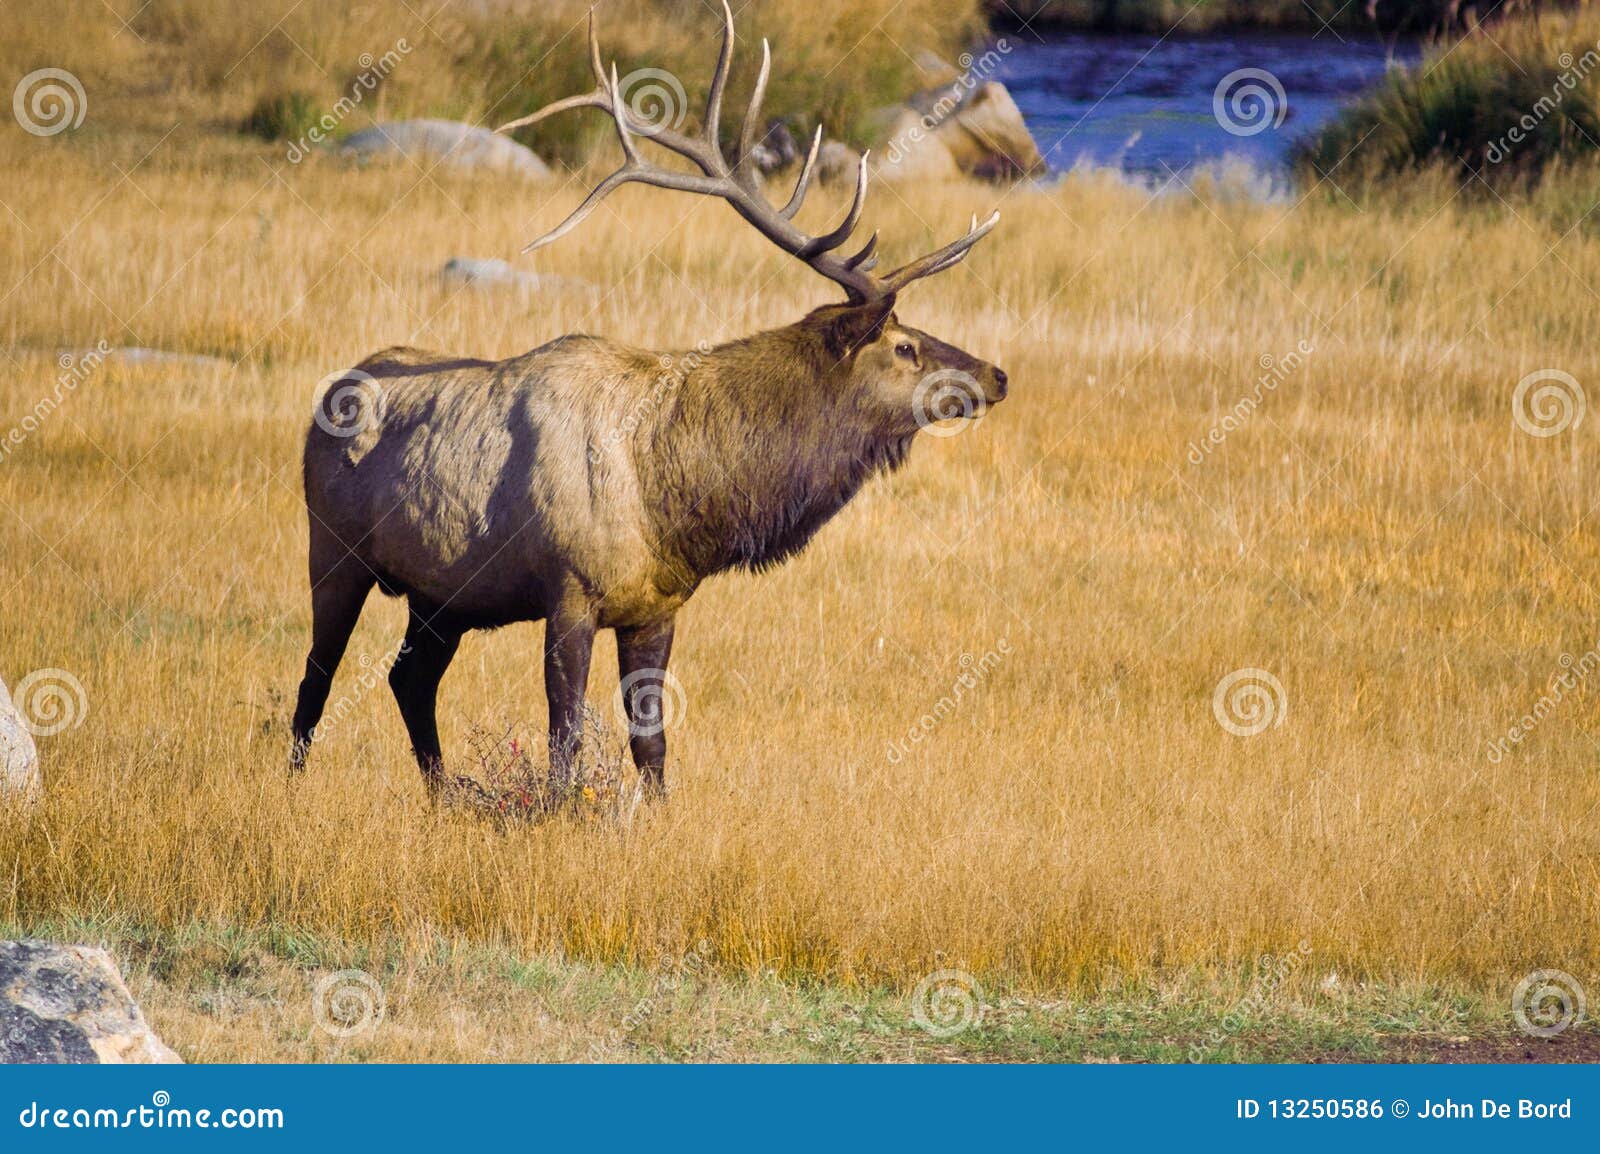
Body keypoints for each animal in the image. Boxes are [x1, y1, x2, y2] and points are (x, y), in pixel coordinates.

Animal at [288, 3, 1007, 802]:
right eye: (904, 345)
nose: (996, 375)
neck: (674, 496)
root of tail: (331, 392)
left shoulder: (657, 606)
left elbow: (650, 741)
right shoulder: (568, 590)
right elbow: (566, 736)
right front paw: (560, 810)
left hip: (439, 597)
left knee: (409, 679)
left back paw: (446, 793)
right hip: (334, 552)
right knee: (317, 676)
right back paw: (295, 785)